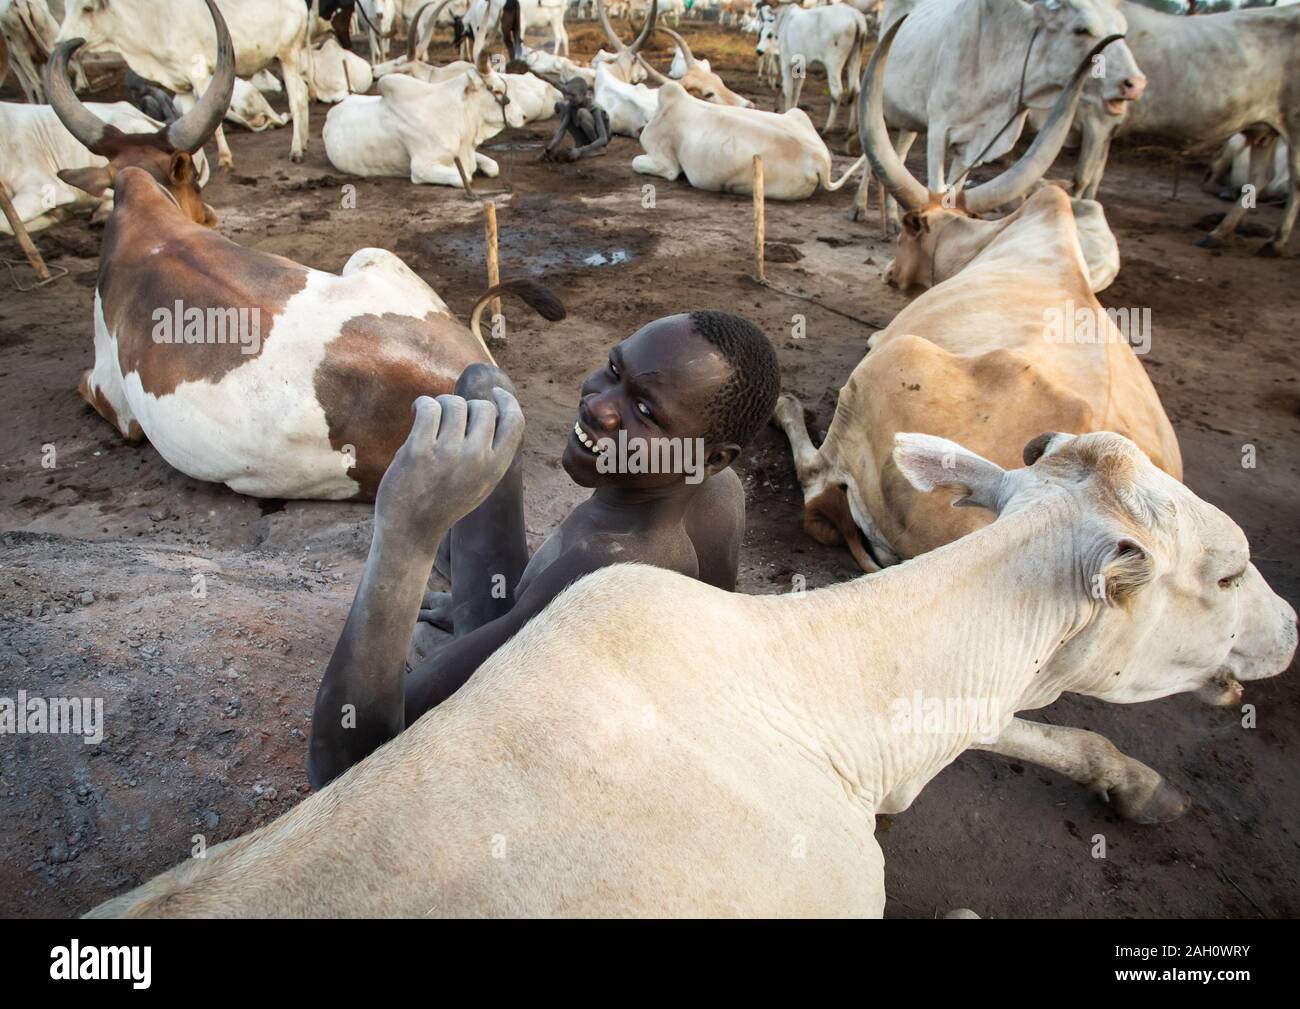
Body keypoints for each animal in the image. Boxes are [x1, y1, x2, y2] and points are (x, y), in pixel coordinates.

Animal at [56, 0, 314, 169]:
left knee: (297, 98)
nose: (59, 42)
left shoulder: (199, 73)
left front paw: (225, 159)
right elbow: (190, 117)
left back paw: (296, 149)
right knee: (302, 93)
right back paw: (304, 142)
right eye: (66, 8)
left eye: (87, 8)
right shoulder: (182, 85)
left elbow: (214, 123)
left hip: (288, 55)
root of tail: (300, 5)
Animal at [323, 57, 555, 186]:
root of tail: (332, 112)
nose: (523, 117)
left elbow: (493, 166)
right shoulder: (421, 167)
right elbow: (465, 176)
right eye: (497, 90)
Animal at [757, 0, 868, 134]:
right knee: (855, 90)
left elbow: (788, 91)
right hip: (855, 58)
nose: (759, 51)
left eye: (769, 35)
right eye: (760, 33)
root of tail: (855, 16)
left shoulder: (786, 63)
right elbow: (796, 92)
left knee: (837, 92)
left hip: (833, 63)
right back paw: (851, 129)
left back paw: (828, 129)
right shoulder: (800, 68)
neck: (783, 20)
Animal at [853, 0, 1146, 229]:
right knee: (873, 157)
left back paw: (891, 218)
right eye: (1082, 29)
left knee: (899, 154)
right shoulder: (939, 130)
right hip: (887, 107)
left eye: (1123, 29)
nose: (1135, 83)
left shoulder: (973, 145)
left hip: (909, 121)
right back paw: (860, 207)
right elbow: (936, 186)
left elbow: (955, 189)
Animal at [1069, 1, 1300, 255]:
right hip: (1264, 131)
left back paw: (1275, 241)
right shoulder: (1107, 129)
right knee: (1259, 178)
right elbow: (1095, 177)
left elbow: (1081, 177)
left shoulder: (1097, 119)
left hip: (1295, 124)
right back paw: (1218, 234)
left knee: (1295, 180)